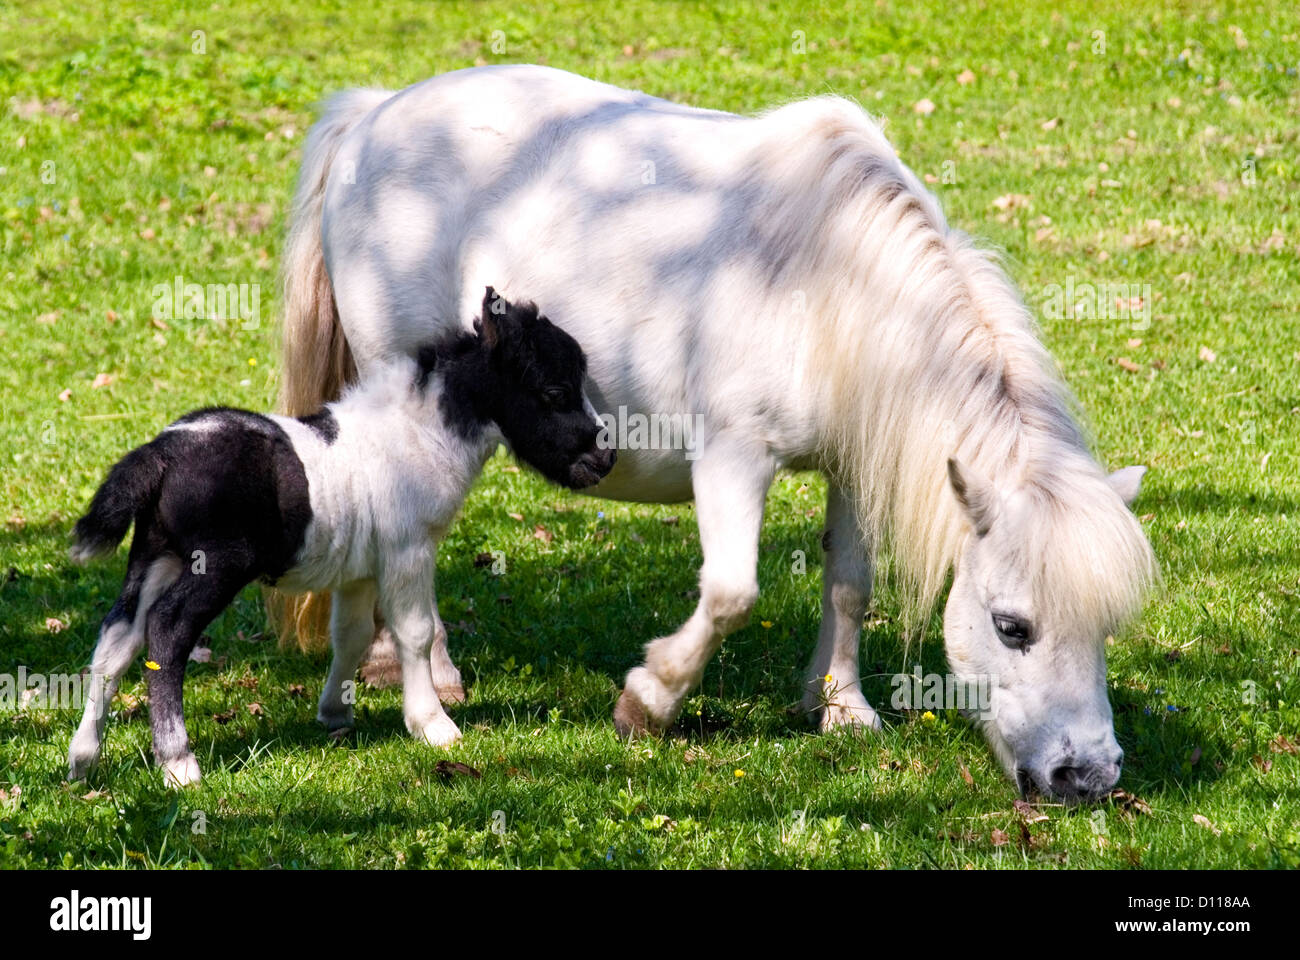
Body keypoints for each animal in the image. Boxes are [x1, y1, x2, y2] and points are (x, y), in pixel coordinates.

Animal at [277, 64, 1158, 801]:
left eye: (1107, 624)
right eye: (1013, 627)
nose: (1091, 776)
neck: (829, 283)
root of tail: (371, 115)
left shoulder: (855, 462)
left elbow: (850, 585)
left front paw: (840, 706)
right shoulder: (734, 460)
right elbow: (733, 592)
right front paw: (649, 701)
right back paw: (429, 674)